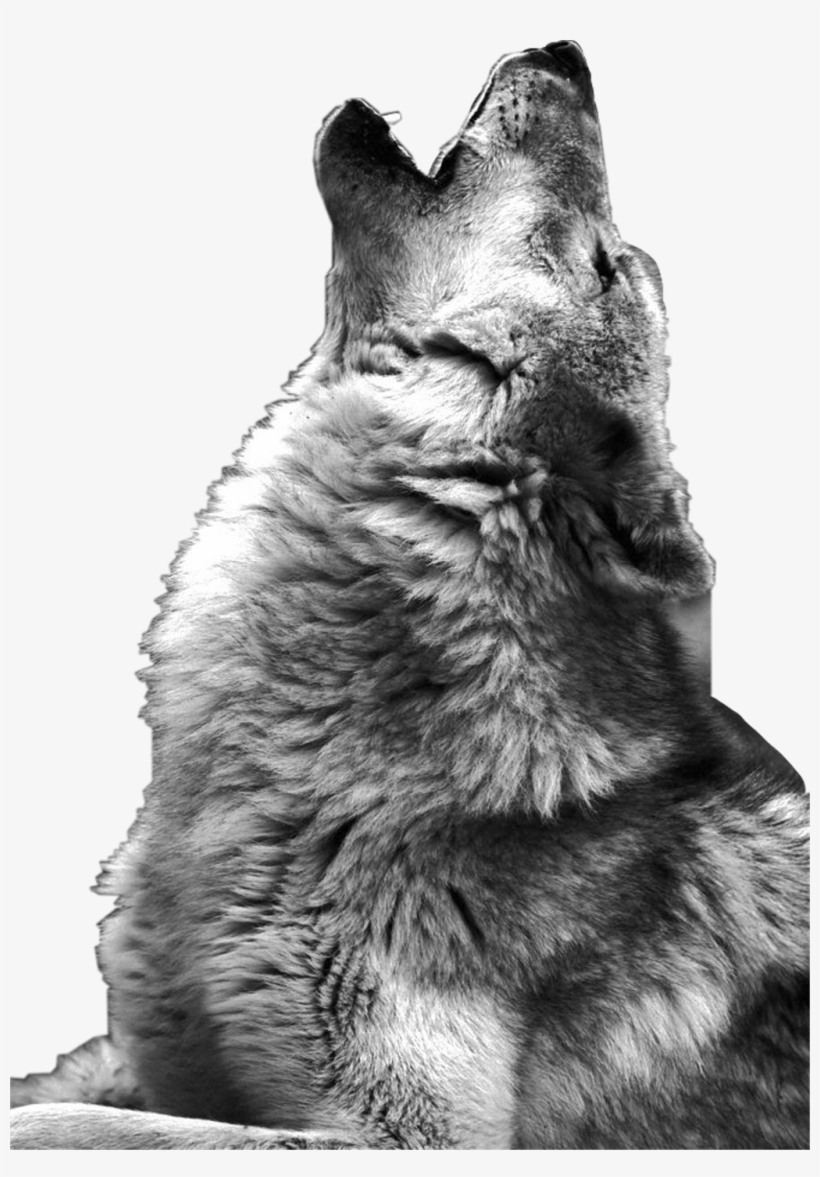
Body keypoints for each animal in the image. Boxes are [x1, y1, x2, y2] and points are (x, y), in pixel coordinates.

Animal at [10, 40, 808, 1149]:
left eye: (604, 263)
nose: (565, 51)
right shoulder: (153, 1054)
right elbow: (74, 1093)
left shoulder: (405, 1128)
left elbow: (100, 1126)